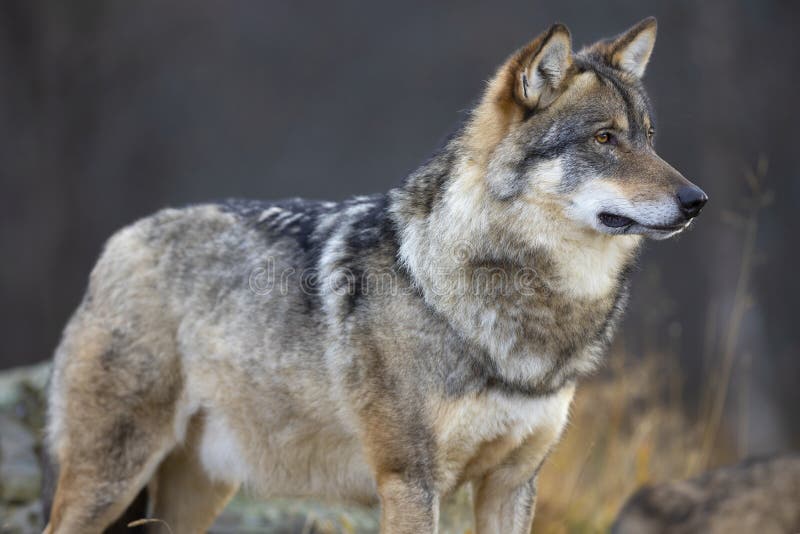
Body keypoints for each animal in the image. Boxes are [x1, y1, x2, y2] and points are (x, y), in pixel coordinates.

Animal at [45, 17, 706, 534]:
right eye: (604, 138)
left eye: (649, 138)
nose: (696, 200)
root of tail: (121, 240)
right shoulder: (410, 481)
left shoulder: (512, 485)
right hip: (110, 479)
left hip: (194, 491)